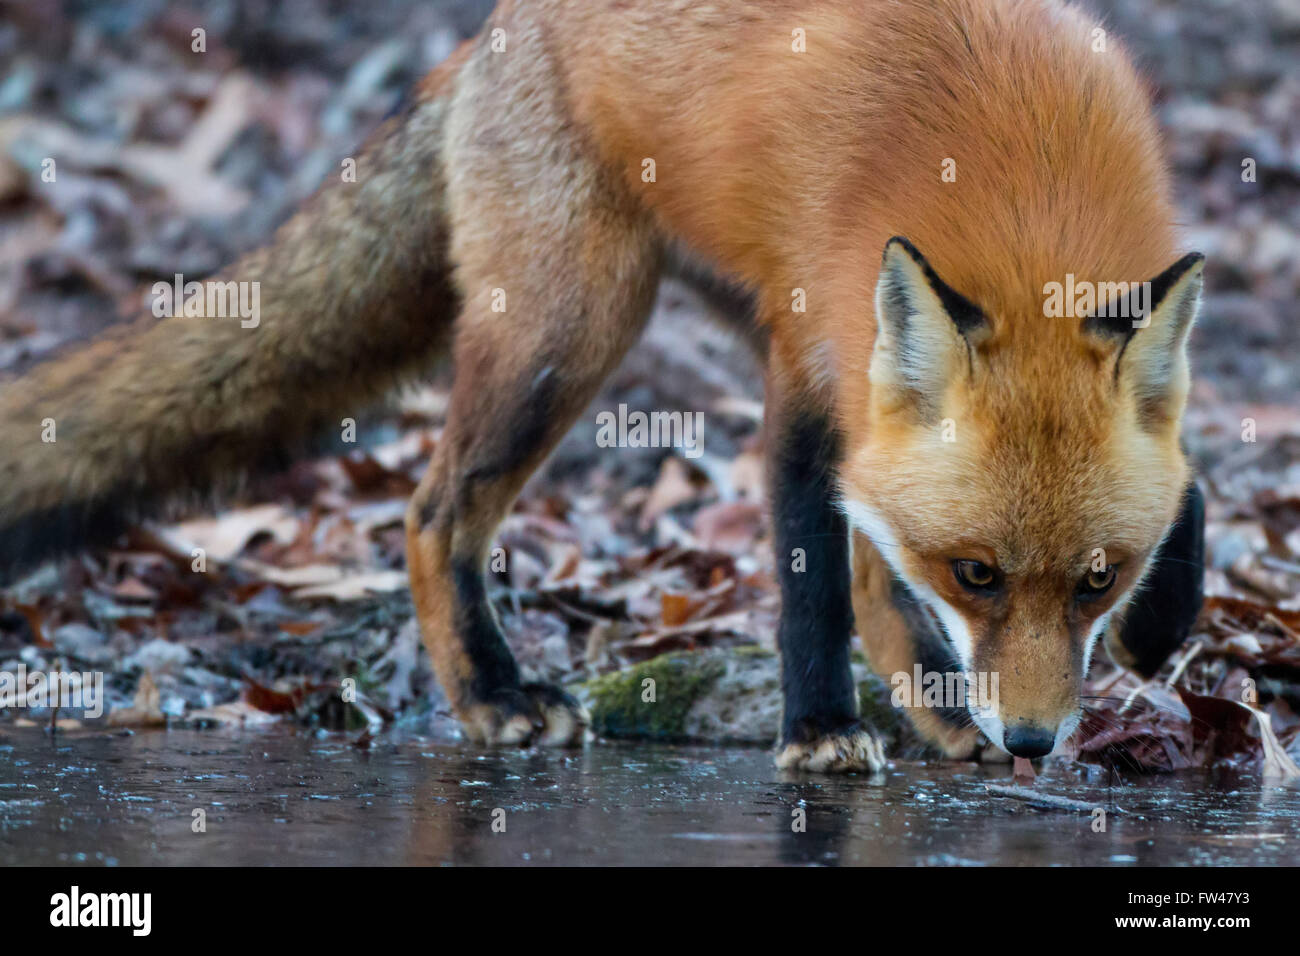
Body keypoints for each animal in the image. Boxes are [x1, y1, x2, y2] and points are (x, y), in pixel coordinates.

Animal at [0, 0, 1206, 772]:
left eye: (1097, 579)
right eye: (977, 574)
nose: (1034, 743)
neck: (1020, 188)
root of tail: (491, 32)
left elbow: (1184, 475)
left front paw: (1159, 625)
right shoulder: (812, 360)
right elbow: (810, 580)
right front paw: (816, 731)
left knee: (872, 546)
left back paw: (936, 706)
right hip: (572, 330)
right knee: (432, 511)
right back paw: (491, 693)